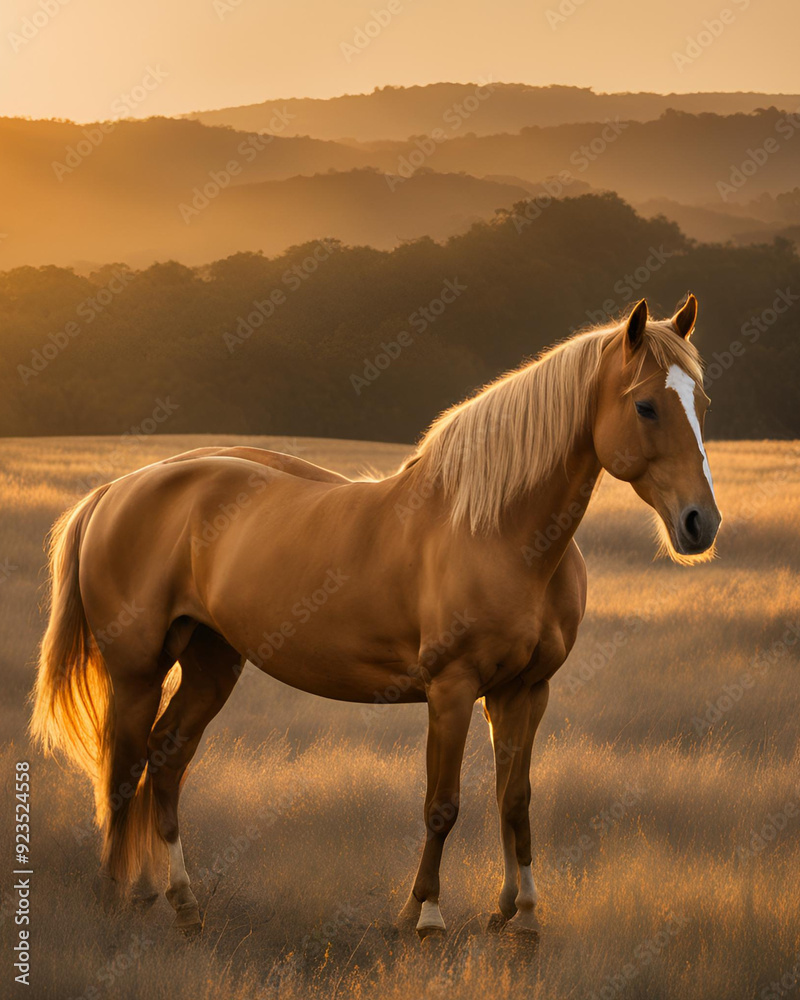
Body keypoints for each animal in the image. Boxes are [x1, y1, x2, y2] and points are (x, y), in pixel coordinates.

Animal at [31, 294, 721, 940]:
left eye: (702, 404)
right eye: (646, 407)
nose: (700, 523)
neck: (497, 530)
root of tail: (117, 491)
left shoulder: (525, 691)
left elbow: (515, 800)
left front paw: (520, 915)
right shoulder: (452, 689)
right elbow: (443, 804)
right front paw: (426, 916)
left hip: (210, 663)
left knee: (167, 756)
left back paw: (180, 902)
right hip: (137, 672)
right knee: (123, 770)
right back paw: (117, 898)